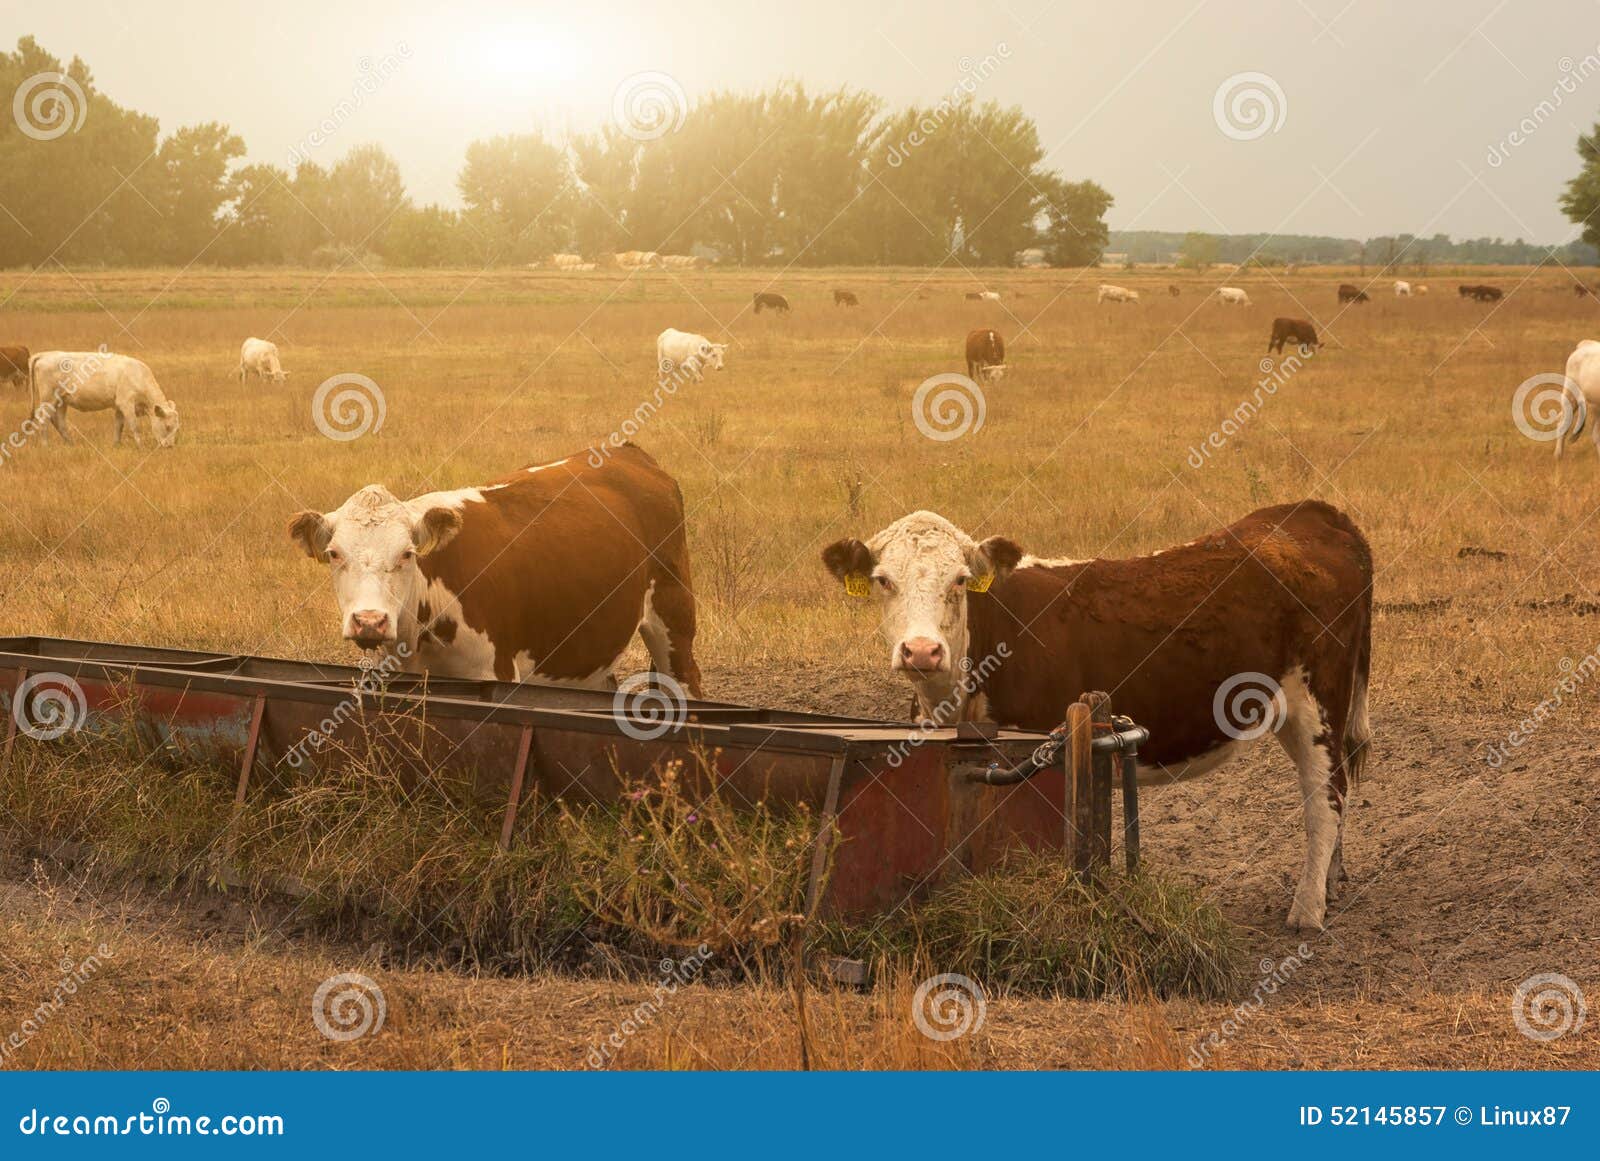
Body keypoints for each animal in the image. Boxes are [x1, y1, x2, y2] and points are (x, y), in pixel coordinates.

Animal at [287, 443, 703, 694]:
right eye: (335, 553)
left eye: (407, 554)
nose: (370, 621)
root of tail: (630, 454)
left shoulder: (496, 673)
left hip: (673, 617)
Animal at [821, 500, 1373, 931]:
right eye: (882, 581)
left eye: (959, 580)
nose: (921, 650)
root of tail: (1315, 514)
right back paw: (1331, 883)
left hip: (1316, 702)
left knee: (1326, 795)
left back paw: (1308, 910)